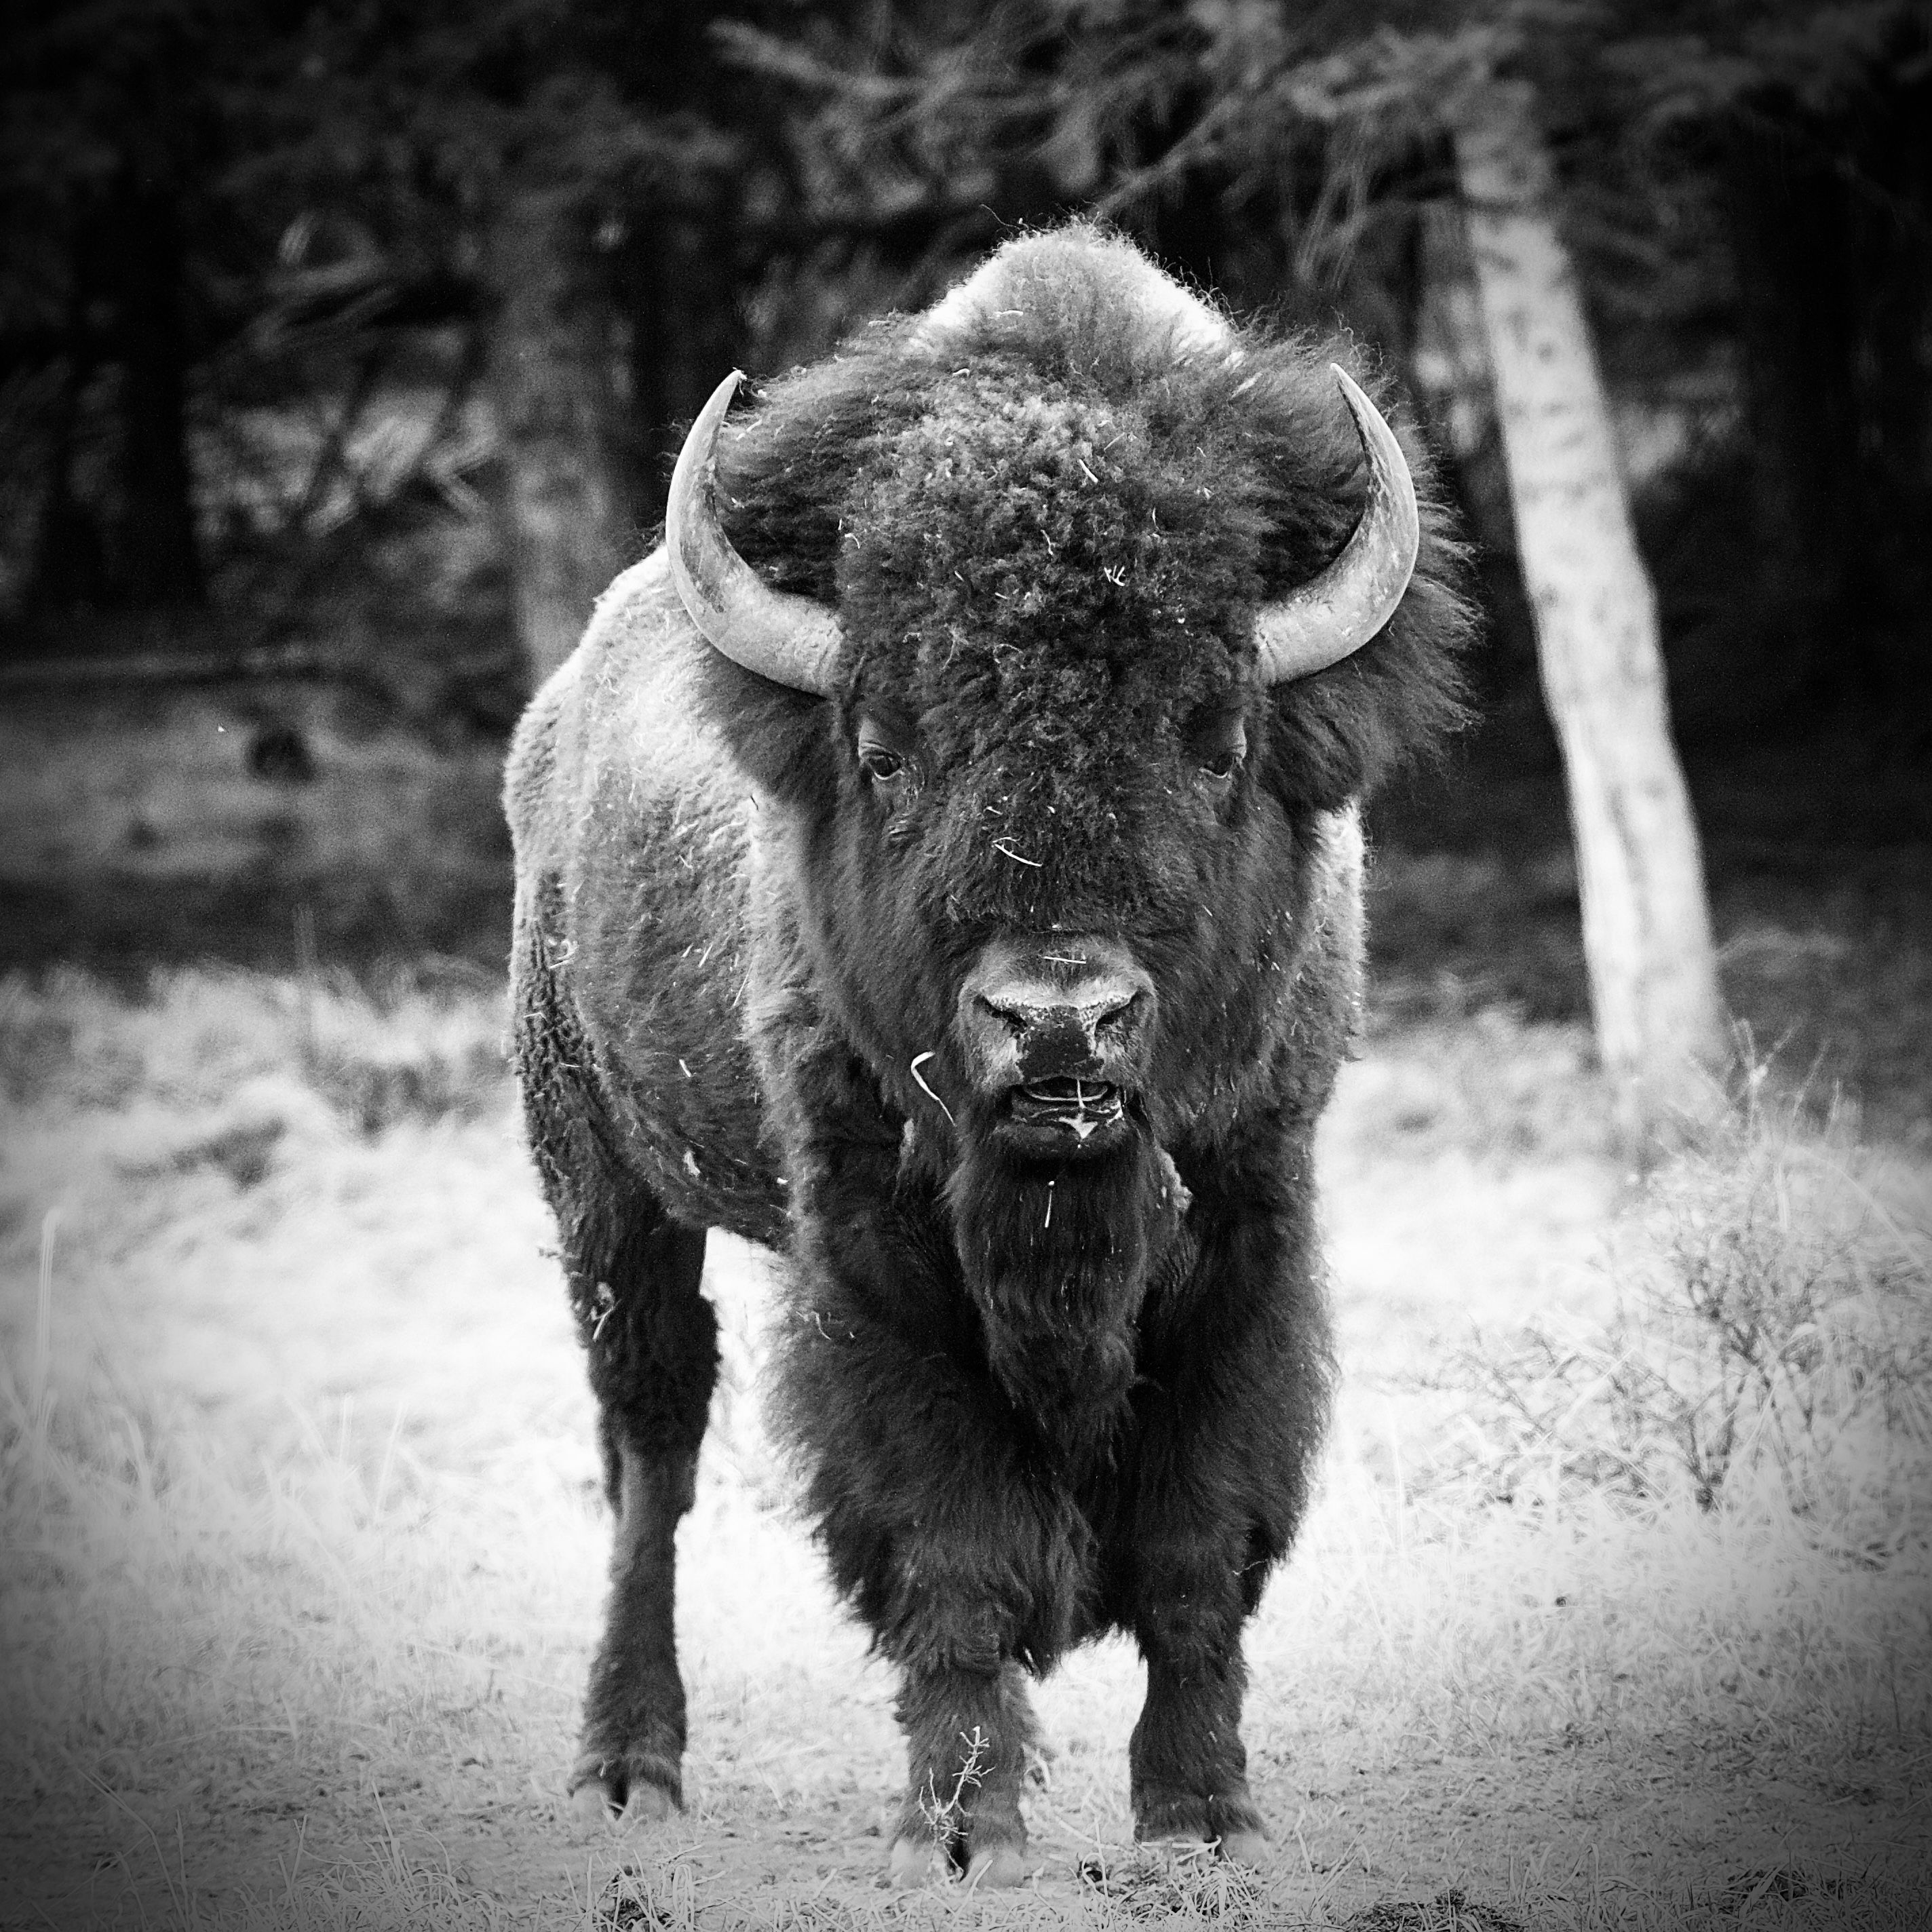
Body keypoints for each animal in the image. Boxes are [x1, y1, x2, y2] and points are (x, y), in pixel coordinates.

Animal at [505, 224, 1469, 1886]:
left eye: (1218, 738)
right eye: (885, 750)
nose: (1059, 1018)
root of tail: (555, 721)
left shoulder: (1252, 1214)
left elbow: (1197, 1541)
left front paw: (1199, 1814)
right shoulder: (873, 1255)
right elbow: (949, 1543)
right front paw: (957, 1832)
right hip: (602, 1189)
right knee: (650, 1452)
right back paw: (628, 1764)